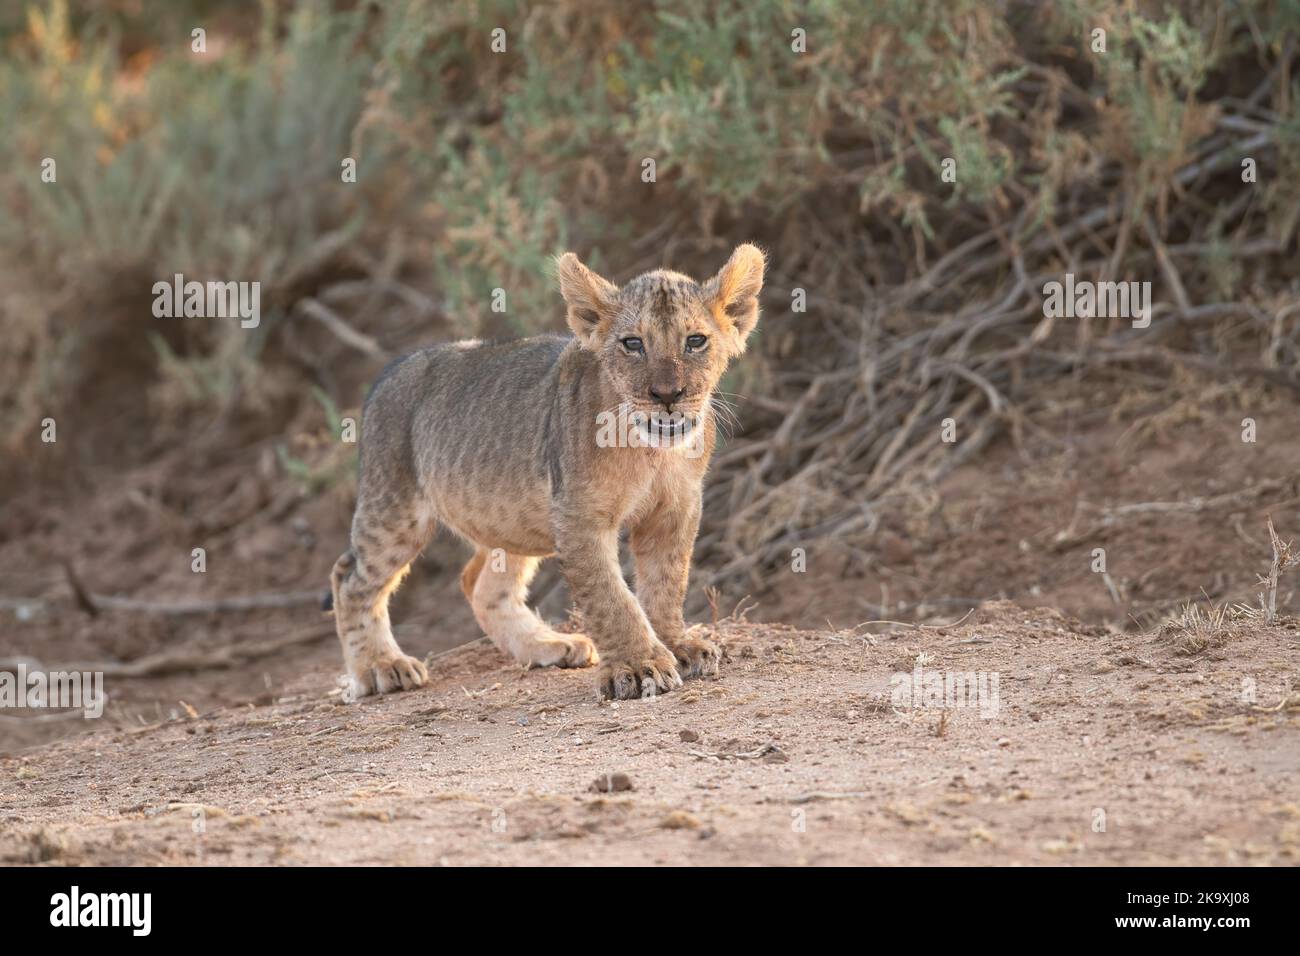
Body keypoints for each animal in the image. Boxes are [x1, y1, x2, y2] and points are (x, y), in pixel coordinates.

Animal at [328, 243, 765, 701]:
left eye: (695, 341)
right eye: (633, 343)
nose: (667, 395)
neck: (652, 453)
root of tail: (392, 368)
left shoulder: (676, 509)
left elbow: (666, 583)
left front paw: (676, 644)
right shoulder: (579, 515)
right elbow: (610, 597)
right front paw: (638, 665)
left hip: (511, 518)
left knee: (479, 584)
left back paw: (546, 645)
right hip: (395, 510)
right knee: (349, 577)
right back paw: (381, 666)